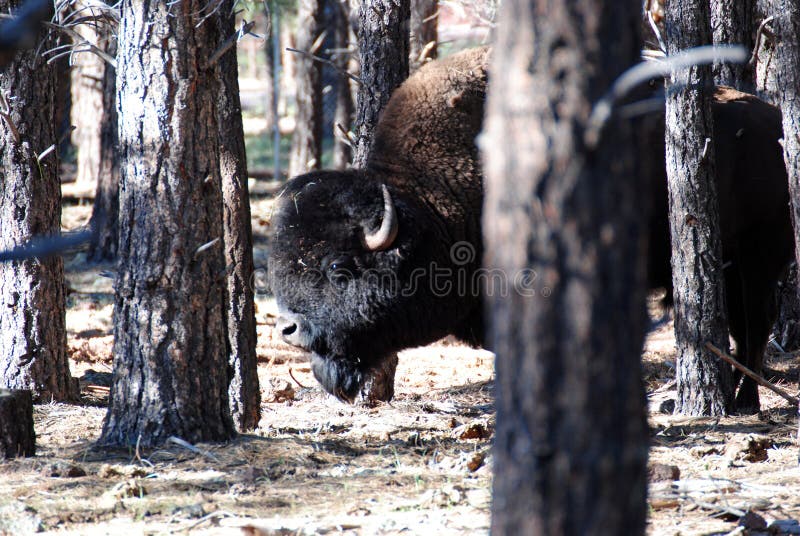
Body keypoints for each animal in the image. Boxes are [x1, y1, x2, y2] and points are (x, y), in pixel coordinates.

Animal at [268, 47, 793, 411]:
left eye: (339, 267)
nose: (288, 329)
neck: (432, 203)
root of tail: (775, 123)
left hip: (756, 262)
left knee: (754, 326)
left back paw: (745, 402)